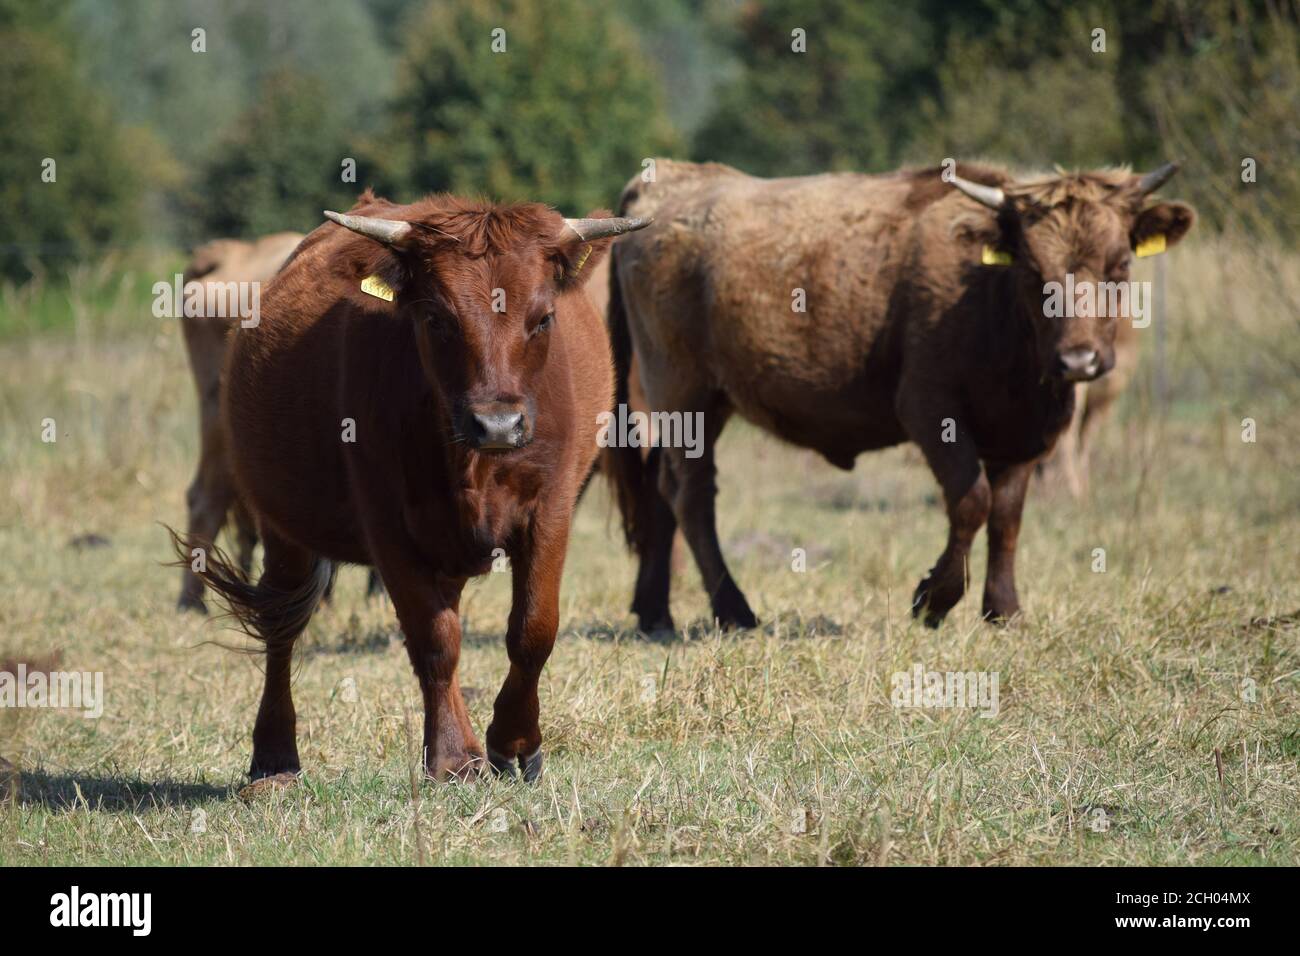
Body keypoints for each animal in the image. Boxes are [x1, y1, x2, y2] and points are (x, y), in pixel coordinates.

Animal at [604, 159, 1194, 633]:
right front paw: (933, 598)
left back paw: (655, 613)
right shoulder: (931, 411)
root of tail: (667, 180)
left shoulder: (1024, 432)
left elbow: (1007, 517)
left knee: (659, 489)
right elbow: (972, 502)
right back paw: (734, 610)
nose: (1078, 360)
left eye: (1120, 265)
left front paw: (1004, 609)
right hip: (686, 395)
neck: (986, 294)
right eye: (1032, 269)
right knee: (691, 495)